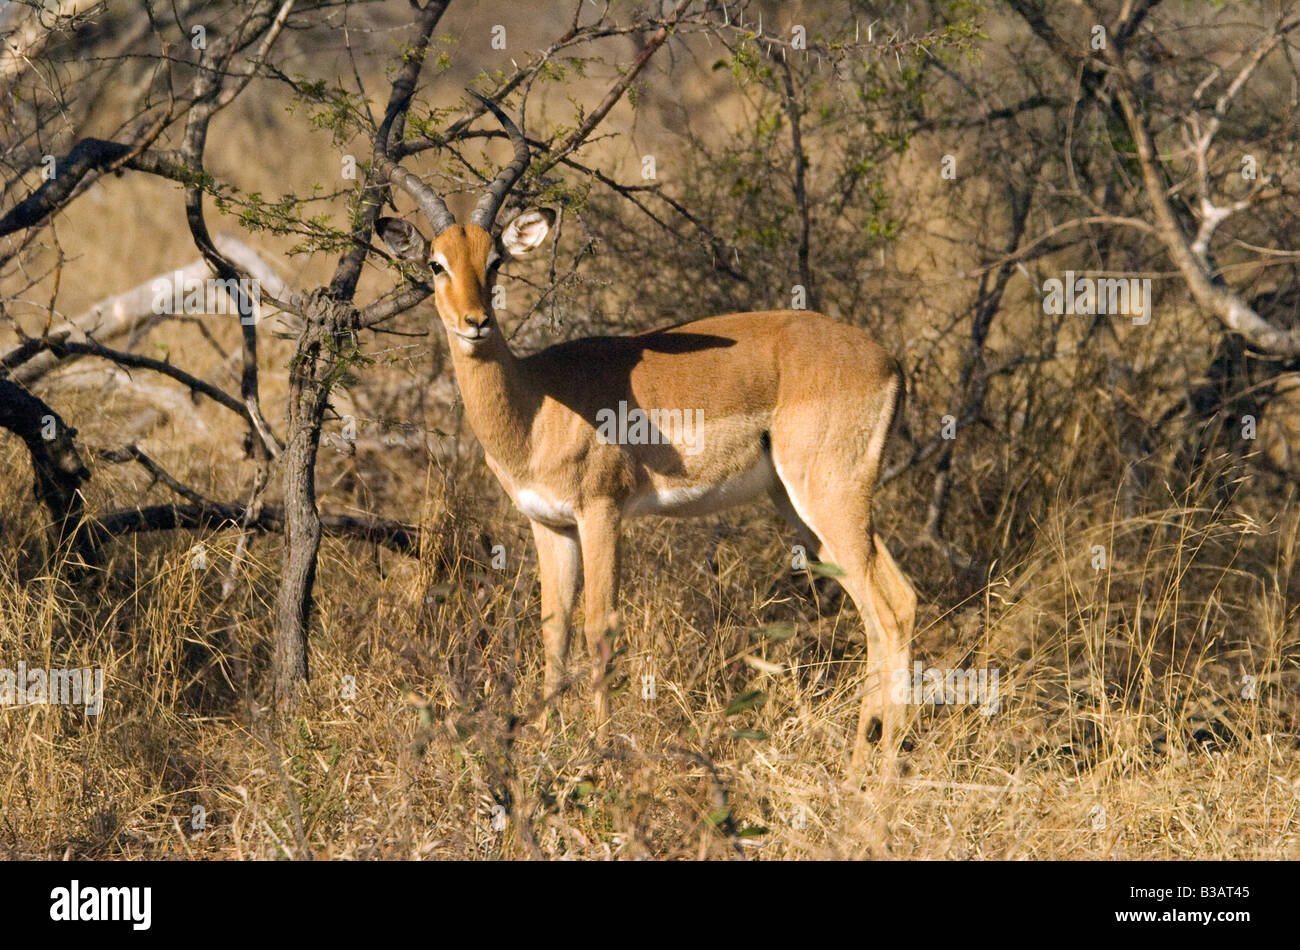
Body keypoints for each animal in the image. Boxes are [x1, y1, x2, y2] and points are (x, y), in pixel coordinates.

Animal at [376, 94, 917, 766]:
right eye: (436, 263)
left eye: (494, 260)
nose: (474, 322)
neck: (536, 404)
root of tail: (887, 361)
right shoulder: (550, 525)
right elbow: (554, 631)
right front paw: (547, 746)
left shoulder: (601, 512)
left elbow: (598, 628)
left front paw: (600, 750)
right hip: (807, 509)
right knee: (898, 603)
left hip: (829, 497)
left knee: (887, 611)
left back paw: (873, 772)